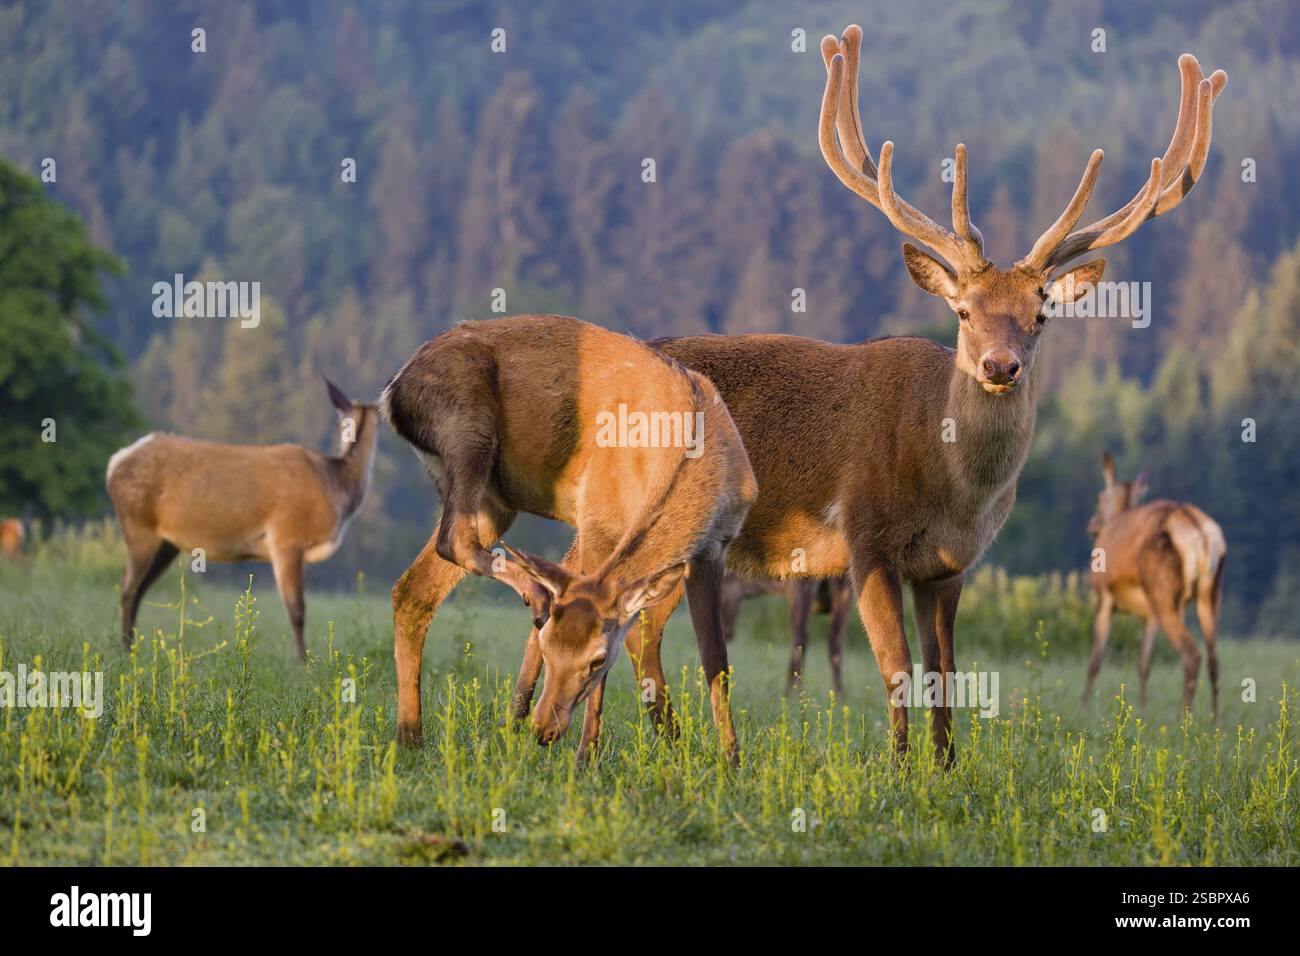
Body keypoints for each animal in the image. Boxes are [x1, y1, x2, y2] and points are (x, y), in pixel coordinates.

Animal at [105, 377, 378, 658]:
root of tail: (114, 462)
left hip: (166, 543)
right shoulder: (286, 537)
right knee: (127, 586)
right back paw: (125, 650)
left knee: (139, 588)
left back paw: (132, 647)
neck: (334, 487)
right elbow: (297, 610)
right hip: (137, 525)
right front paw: (302, 660)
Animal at [381, 314, 756, 762]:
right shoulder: (596, 521)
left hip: (493, 496)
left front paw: (732, 760)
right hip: (467, 426)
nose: (544, 729)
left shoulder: (713, 549)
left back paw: (410, 737)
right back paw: (535, 595)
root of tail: (393, 392)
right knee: (453, 539)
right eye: (547, 648)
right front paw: (585, 757)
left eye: (596, 659)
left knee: (414, 588)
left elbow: (716, 660)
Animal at [1083, 452, 1226, 715]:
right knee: (1214, 661)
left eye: (1099, 497)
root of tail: (1200, 532)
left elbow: (1095, 661)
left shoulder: (1103, 596)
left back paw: (1184, 718)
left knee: (1192, 655)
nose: (1091, 525)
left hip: (1164, 593)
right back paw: (1214, 720)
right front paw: (1143, 709)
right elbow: (1144, 665)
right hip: (1211, 592)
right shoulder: (1148, 614)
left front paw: (1084, 707)